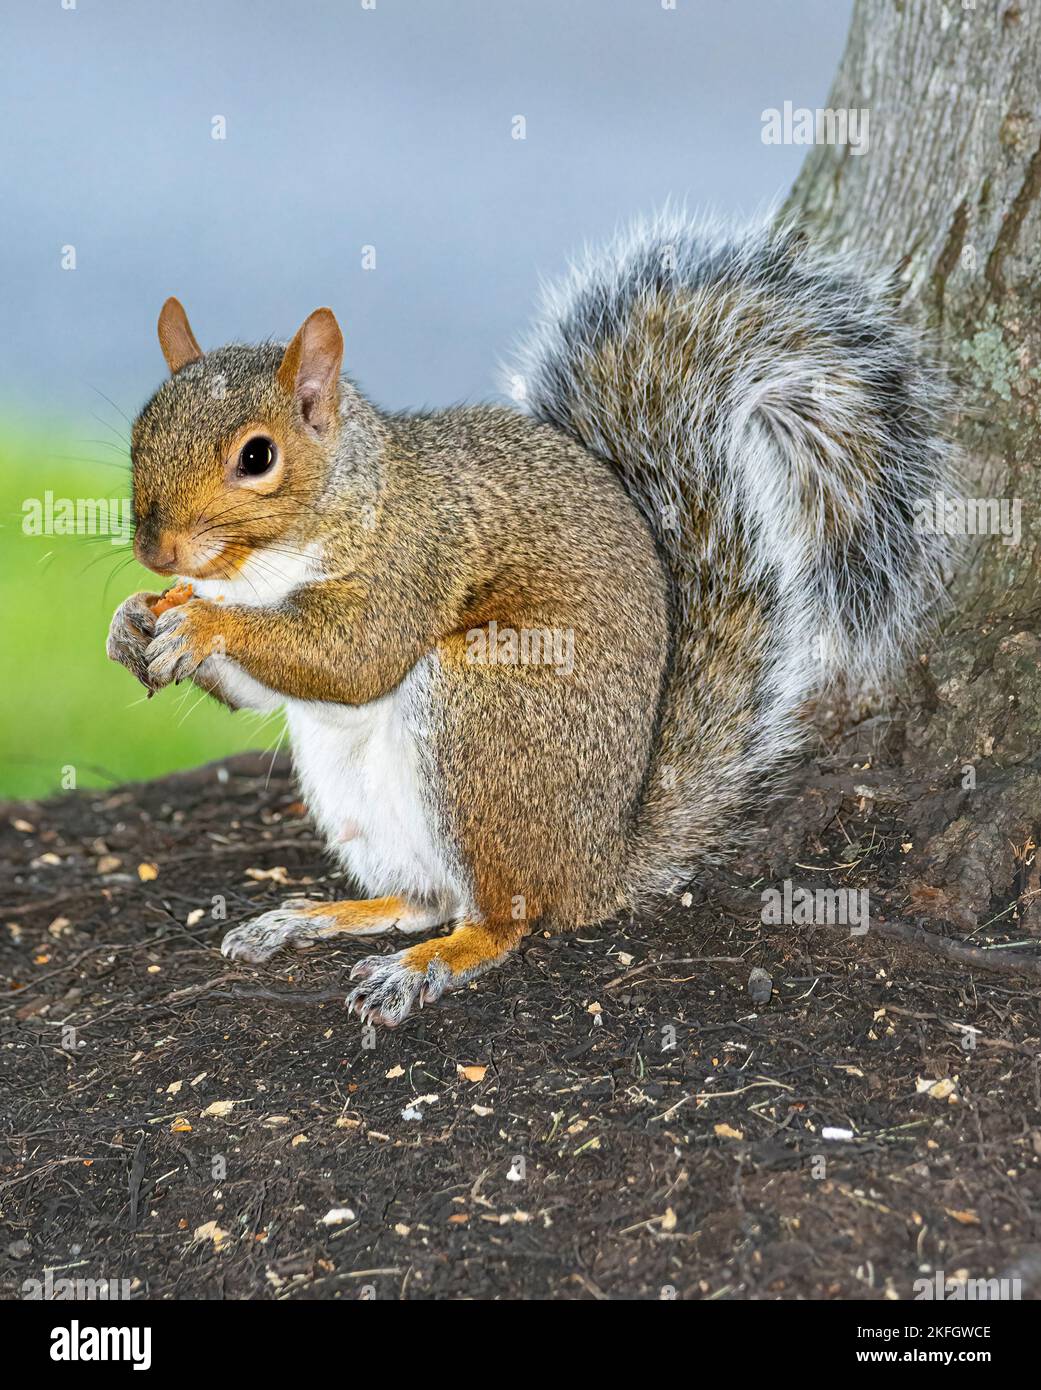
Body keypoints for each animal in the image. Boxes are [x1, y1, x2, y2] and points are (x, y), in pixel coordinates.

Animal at [107, 212, 954, 1027]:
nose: (154, 550)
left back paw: (430, 964)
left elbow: (355, 657)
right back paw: (310, 919)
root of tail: (599, 864)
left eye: (257, 457)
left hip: (484, 713)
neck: (262, 568)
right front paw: (131, 621)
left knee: (502, 916)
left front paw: (205, 626)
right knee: (425, 899)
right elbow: (258, 690)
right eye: (139, 434)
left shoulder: (413, 559)